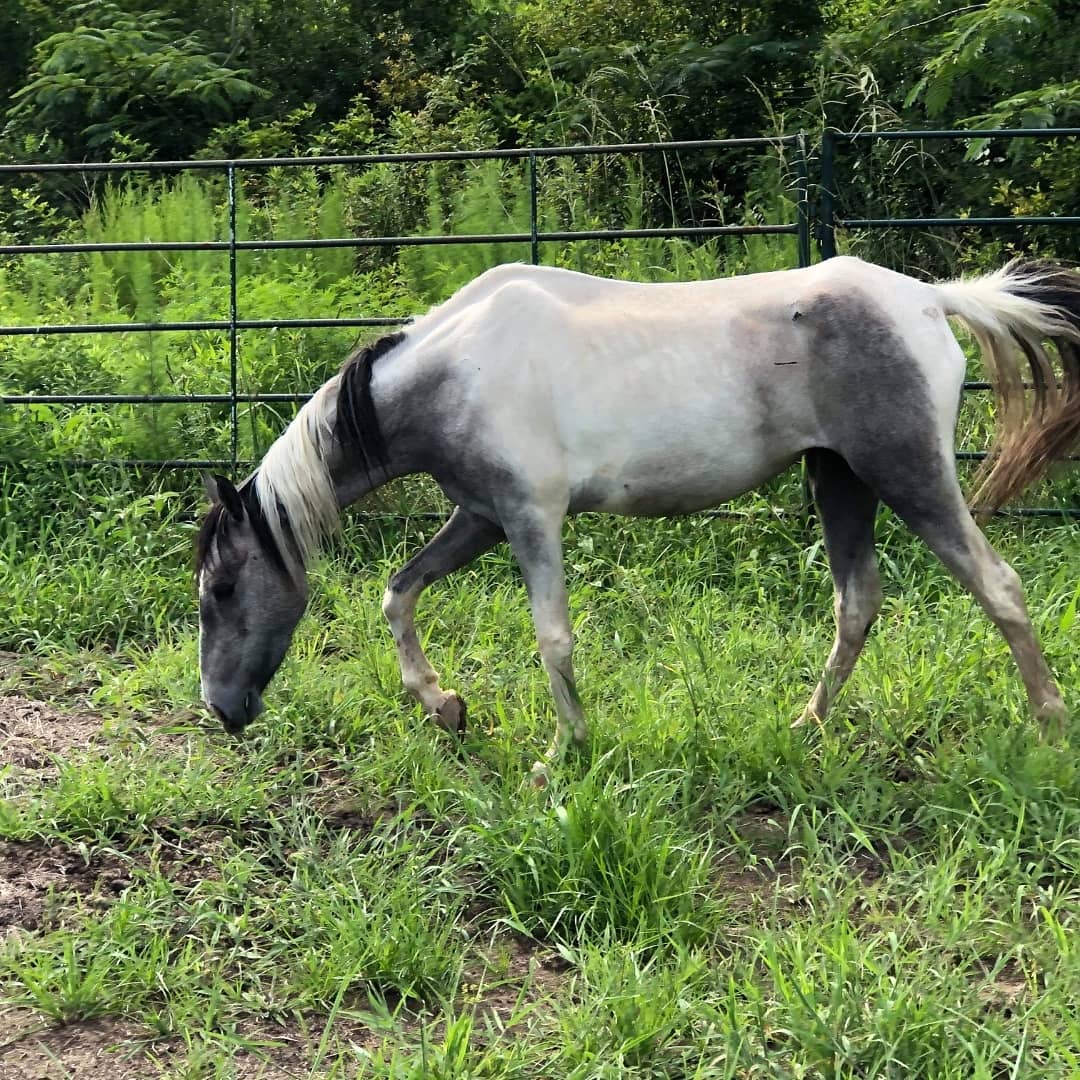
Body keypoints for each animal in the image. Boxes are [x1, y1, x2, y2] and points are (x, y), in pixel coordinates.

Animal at [196, 257, 1080, 780]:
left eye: (223, 590)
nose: (221, 709)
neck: (456, 368)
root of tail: (929, 299)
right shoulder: (480, 516)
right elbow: (399, 592)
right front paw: (444, 705)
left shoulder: (530, 519)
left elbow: (552, 637)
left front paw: (563, 752)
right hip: (841, 482)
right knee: (857, 602)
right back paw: (806, 722)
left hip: (908, 474)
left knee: (997, 585)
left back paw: (1049, 725)